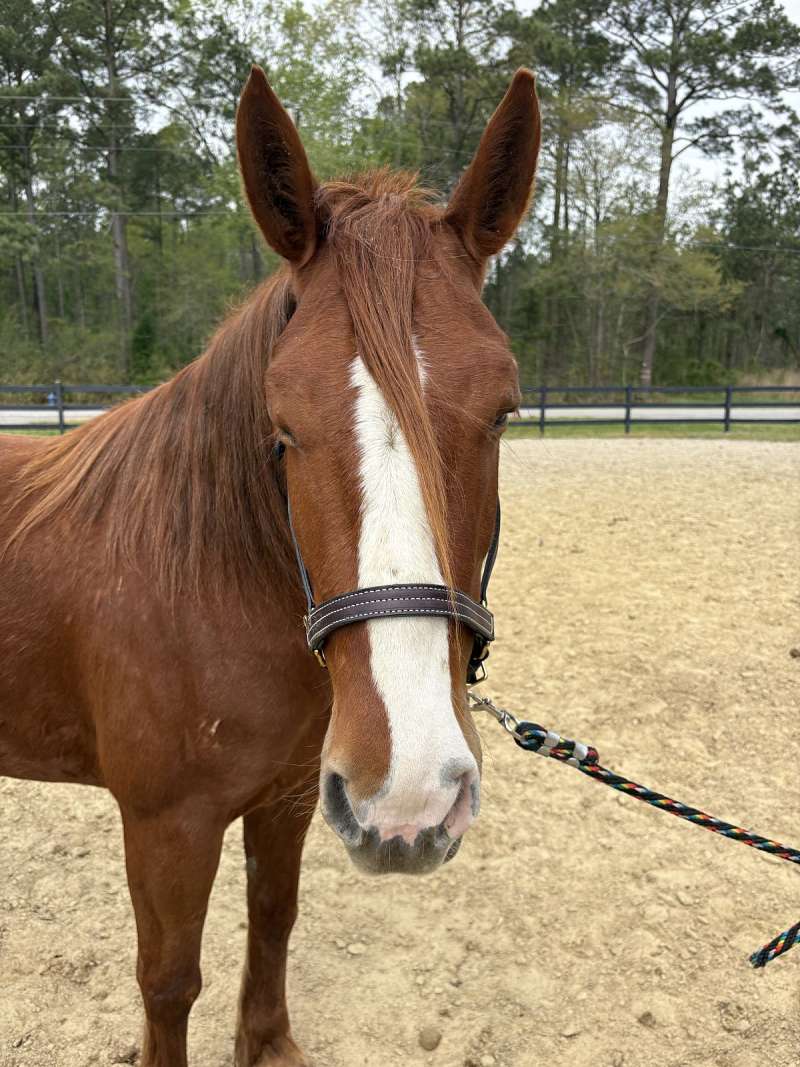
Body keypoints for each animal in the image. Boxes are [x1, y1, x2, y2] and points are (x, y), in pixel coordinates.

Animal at [0, 66, 540, 1067]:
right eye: (282, 425)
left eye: (505, 411)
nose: (411, 789)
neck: (204, 583)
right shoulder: (166, 827)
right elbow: (168, 984)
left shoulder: (290, 796)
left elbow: (274, 919)